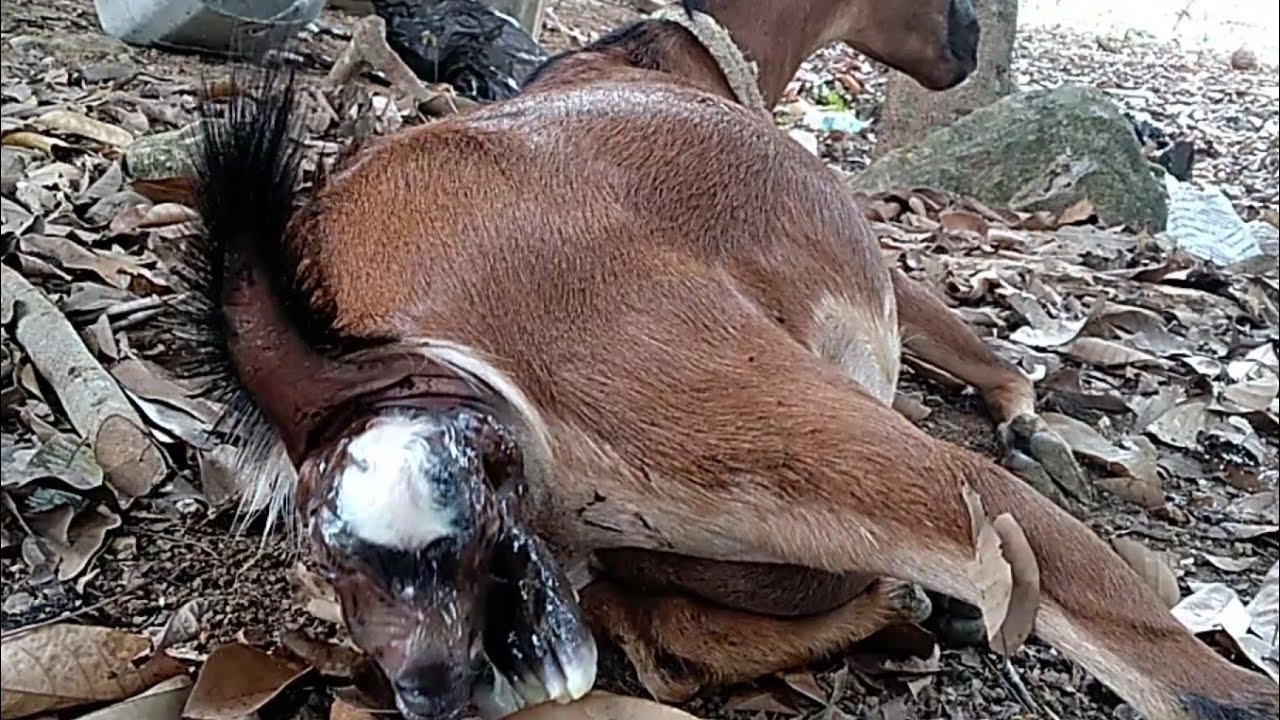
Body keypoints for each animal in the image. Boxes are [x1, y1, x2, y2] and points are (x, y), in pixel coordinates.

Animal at [164, 0, 1280, 719]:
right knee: (1174, 669)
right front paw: (1025, 412)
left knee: (672, 638)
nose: (967, 47)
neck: (665, 61)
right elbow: (964, 335)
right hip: (748, 412)